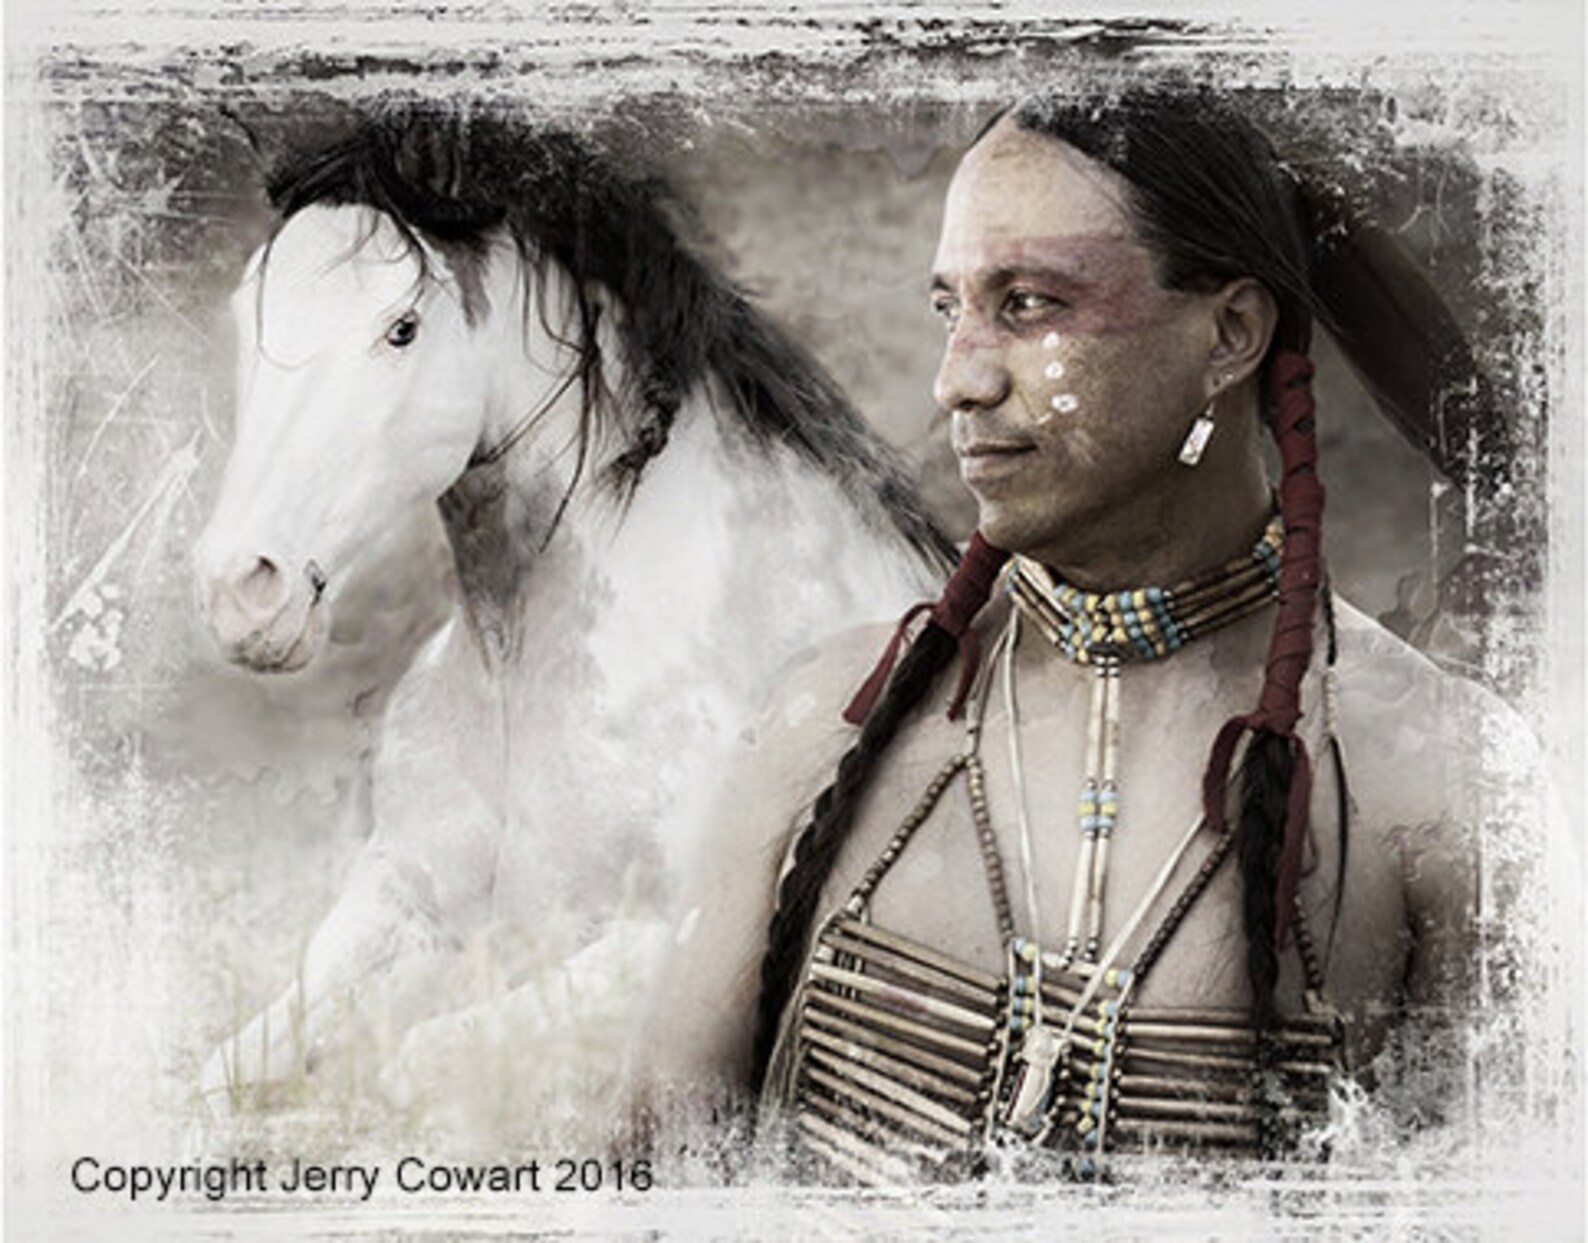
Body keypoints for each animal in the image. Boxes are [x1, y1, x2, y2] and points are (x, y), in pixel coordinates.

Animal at [192, 109, 954, 1143]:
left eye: (402, 327)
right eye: (246, 317)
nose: (242, 590)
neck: (520, 678)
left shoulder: (654, 958)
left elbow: (425, 1069)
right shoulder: (403, 898)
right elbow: (222, 1076)